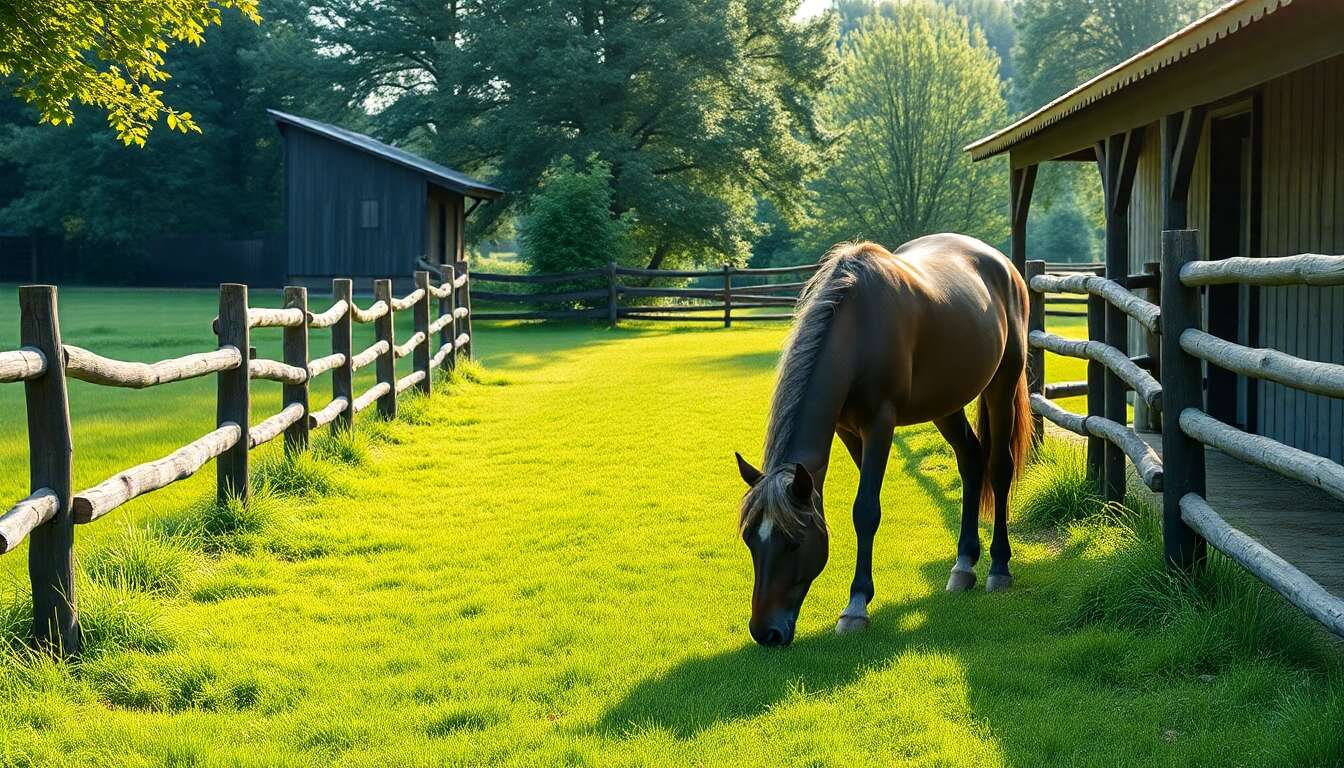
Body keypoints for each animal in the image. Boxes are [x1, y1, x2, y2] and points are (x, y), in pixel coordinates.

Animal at [735, 234, 1033, 648]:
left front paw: (856, 606)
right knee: (971, 460)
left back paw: (999, 567)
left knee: (999, 469)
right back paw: (963, 565)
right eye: (750, 539)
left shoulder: (880, 423)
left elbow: (866, 510)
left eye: (794, 541)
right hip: (945, 403)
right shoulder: (847, 430)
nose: (766, 632)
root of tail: (1003, 264)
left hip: (1002, 384)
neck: (857, 327)